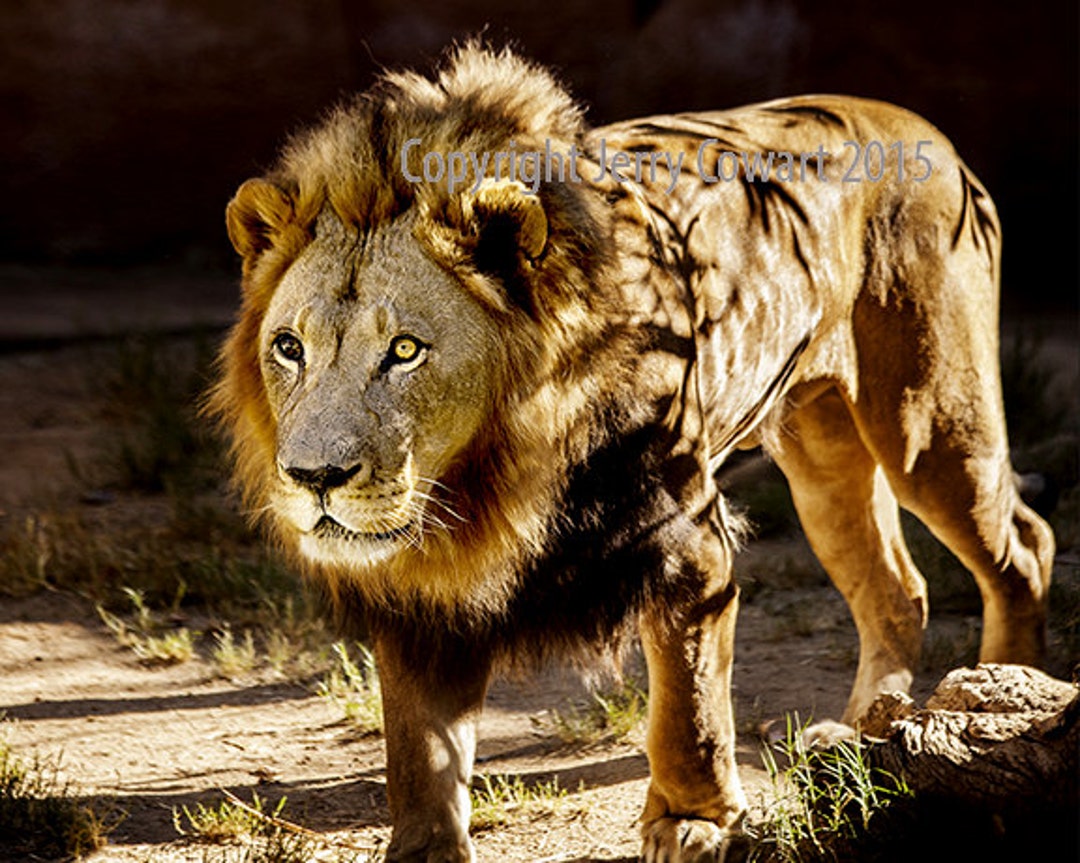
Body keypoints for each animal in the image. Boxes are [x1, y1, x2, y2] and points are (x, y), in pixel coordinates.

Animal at [211, 43, 1055, 862]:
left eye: (407, 350)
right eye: (288, 348)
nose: (315, 476)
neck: (488, 479)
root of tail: (928, 131)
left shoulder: (685, 539)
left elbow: (688, 704)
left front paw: (693, 822)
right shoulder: (418, 592)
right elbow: (419, 750)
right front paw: (425, 847)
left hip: (930, 425)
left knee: (1024, 545)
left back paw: (1002, 694)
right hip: (823, 455)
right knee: (898, 587)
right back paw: (859, 731)